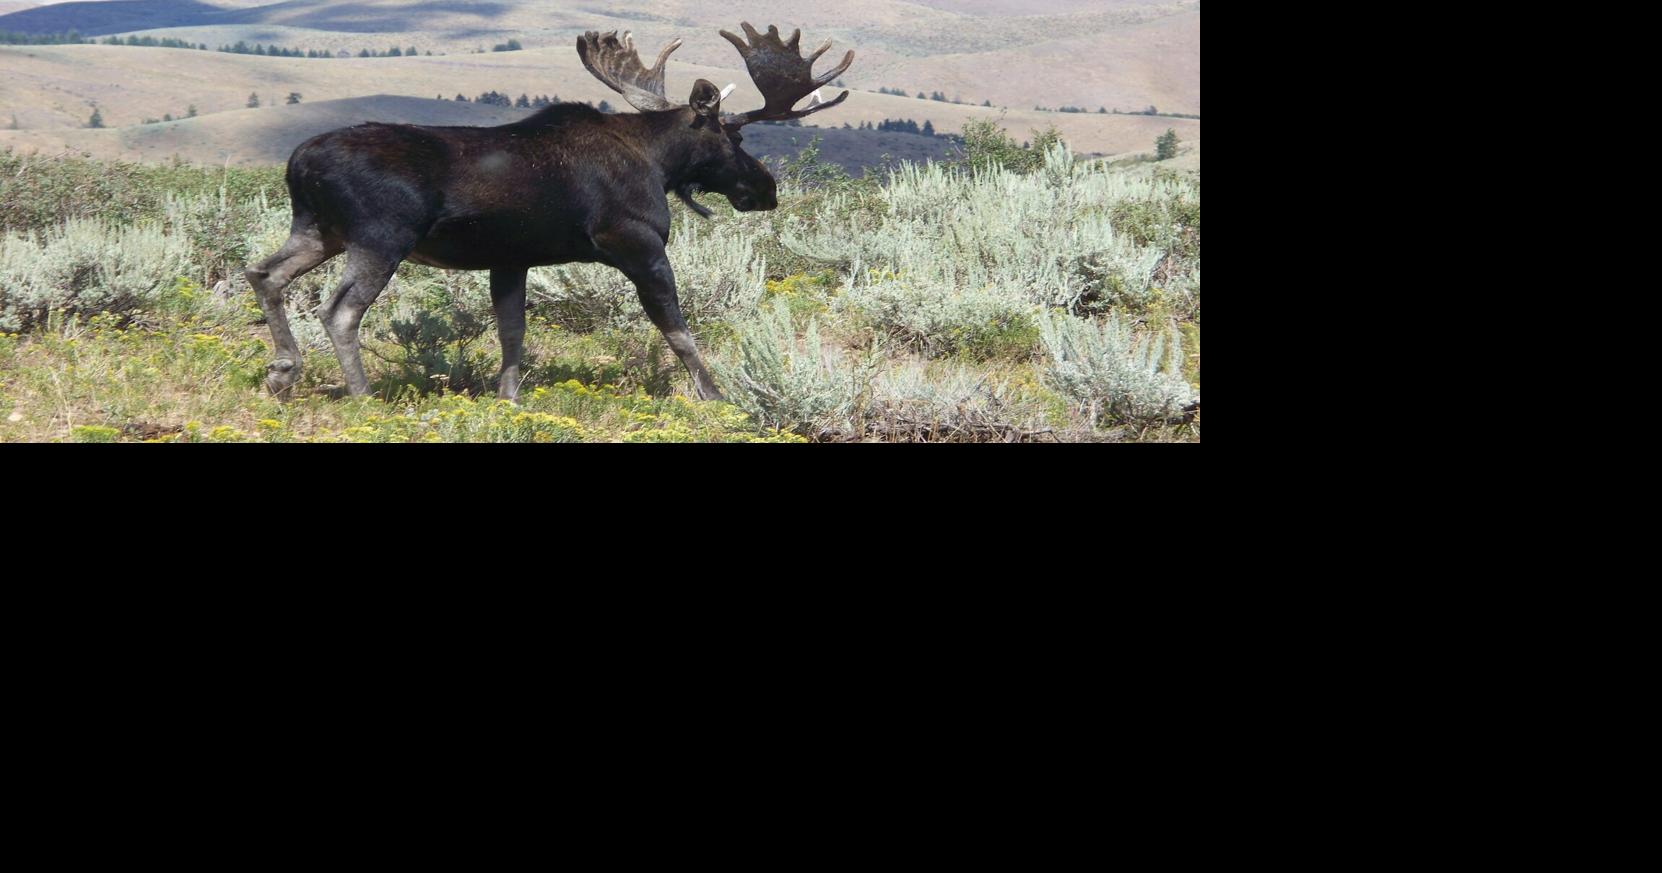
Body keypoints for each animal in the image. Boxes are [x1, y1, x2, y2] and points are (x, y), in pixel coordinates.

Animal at [245, 23, 854, 402]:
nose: (766, 188)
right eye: (736, 136)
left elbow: (512, 332)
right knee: (340, 310)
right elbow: (678, 329)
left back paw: (282, 372)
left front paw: (508, 398)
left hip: (318, 230)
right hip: (380, 236)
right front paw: (715, 394)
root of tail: (298, 162)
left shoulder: (511, 257)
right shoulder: (638, 243)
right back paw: (362, 393)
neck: (658, 163)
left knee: (263, 272)